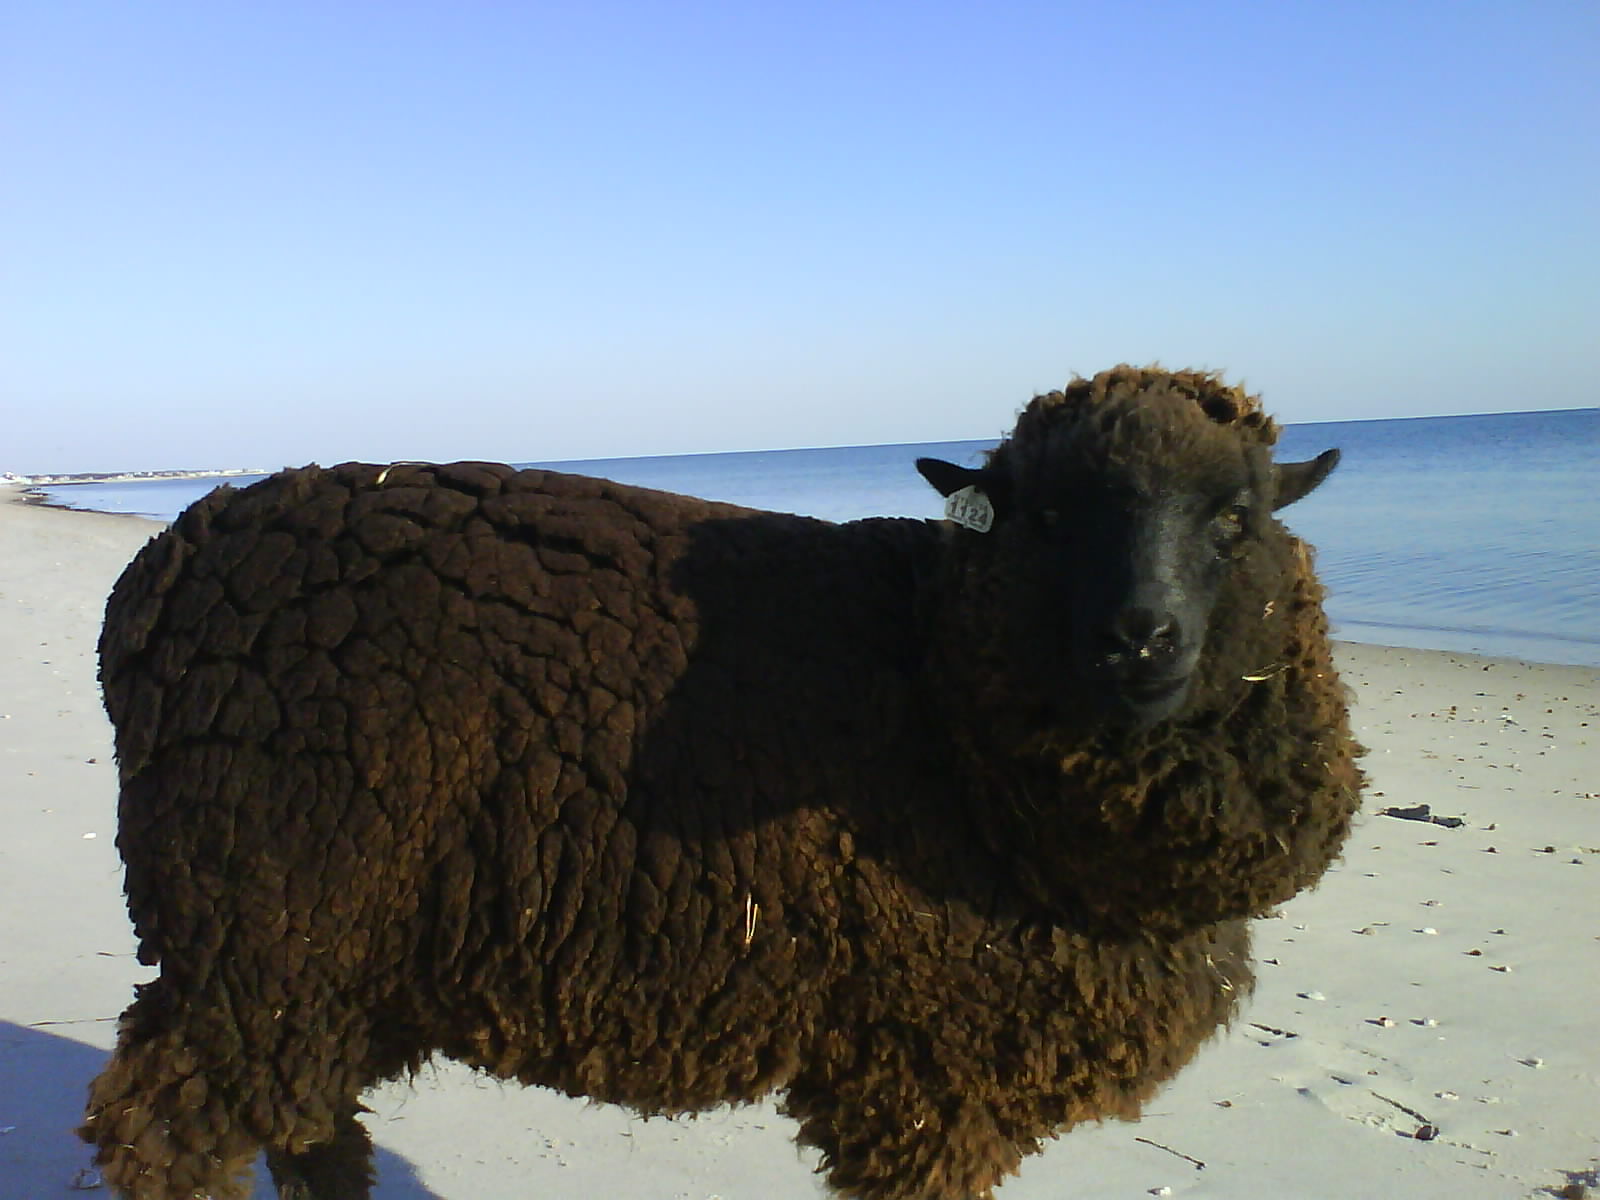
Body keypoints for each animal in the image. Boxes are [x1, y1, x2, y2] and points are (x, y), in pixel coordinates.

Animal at [81, 365, 1363, 1200]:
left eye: (1235, 515)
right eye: (1045, 517)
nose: (1136, 640)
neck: (936, 674)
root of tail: (164, 567)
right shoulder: (927, 1068)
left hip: (327, 968)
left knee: (308, 1131)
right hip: (259, 936)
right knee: (165, 1136)